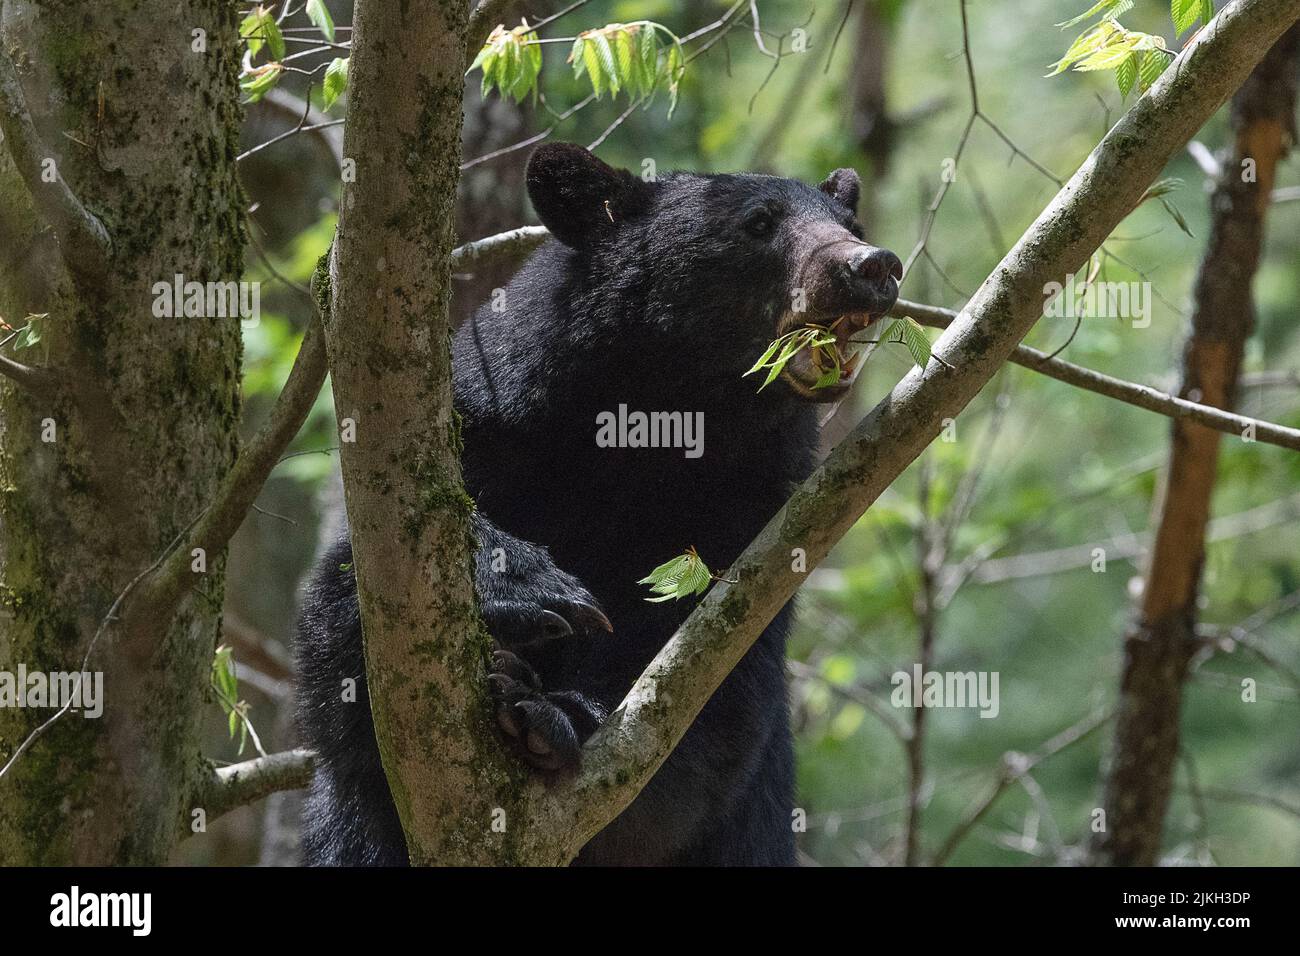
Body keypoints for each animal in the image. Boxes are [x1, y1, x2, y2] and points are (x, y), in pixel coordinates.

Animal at [296, 143, 901, 866]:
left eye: (852, 225)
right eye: (759, 222)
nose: (870, 266)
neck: (658, 423)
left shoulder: (754, 529)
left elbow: (708, 710)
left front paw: (549, 718)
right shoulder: (494, 424)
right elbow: (344, 625)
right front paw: (531, 590)